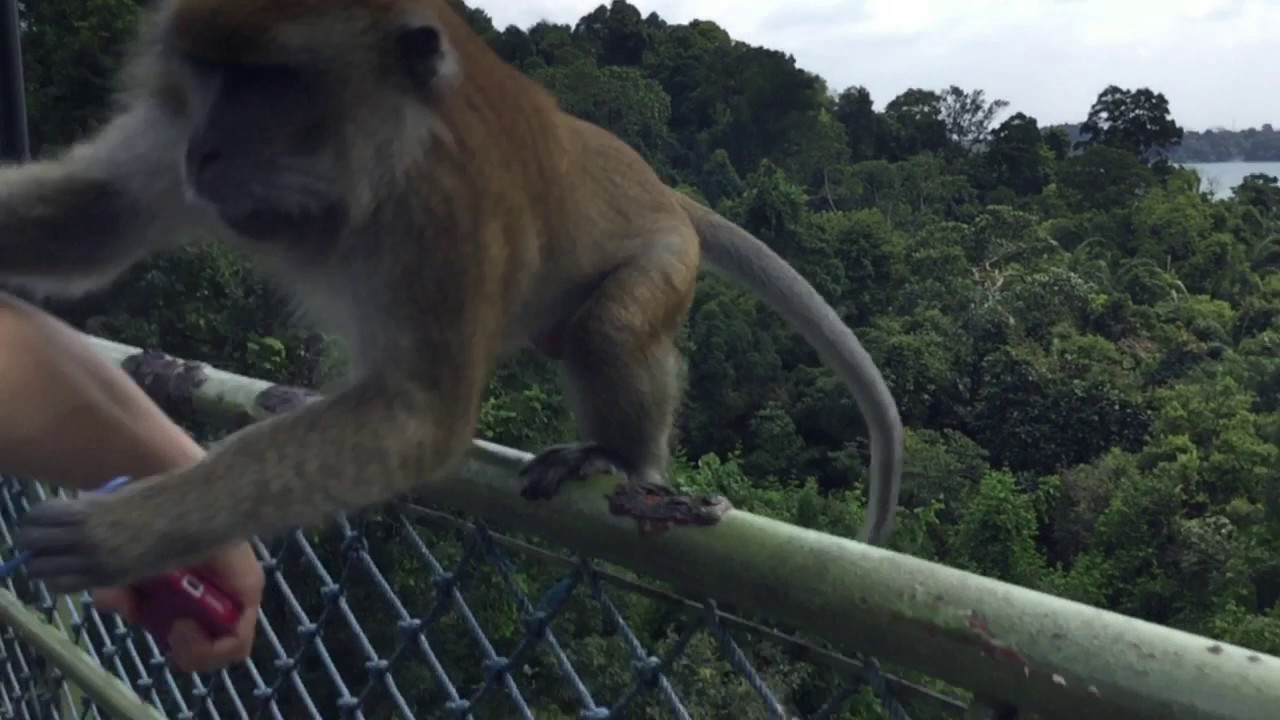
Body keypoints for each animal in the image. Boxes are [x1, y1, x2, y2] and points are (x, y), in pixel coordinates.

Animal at [0, 0, 903, 594]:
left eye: (270, 82)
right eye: (207, 74)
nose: (208, 150)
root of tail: (663, 191)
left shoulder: (449, 212)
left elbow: (419, 420)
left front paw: (125, 534)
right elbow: (94, 214)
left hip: (664, 256)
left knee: (609, 328)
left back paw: (621, 459)